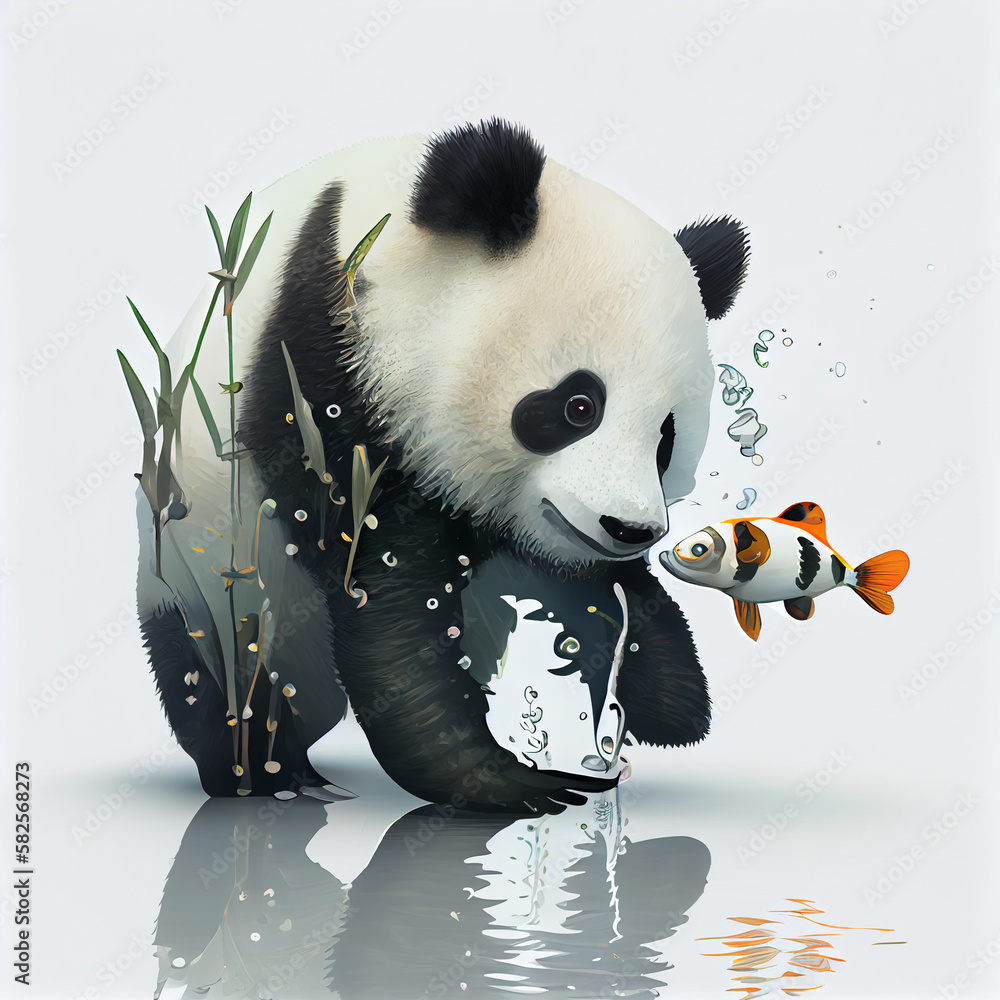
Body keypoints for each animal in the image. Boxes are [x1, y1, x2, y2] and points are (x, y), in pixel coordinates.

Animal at [137, 118, 749, 813]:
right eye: (579, 405)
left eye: (666, 439)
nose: (630, 529)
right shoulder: (323, 388)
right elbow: (386, 603)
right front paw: (514, 782)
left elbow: (587, 581)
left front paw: (666, 697)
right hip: (196, 575)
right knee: (216, 672)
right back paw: (264, 775)